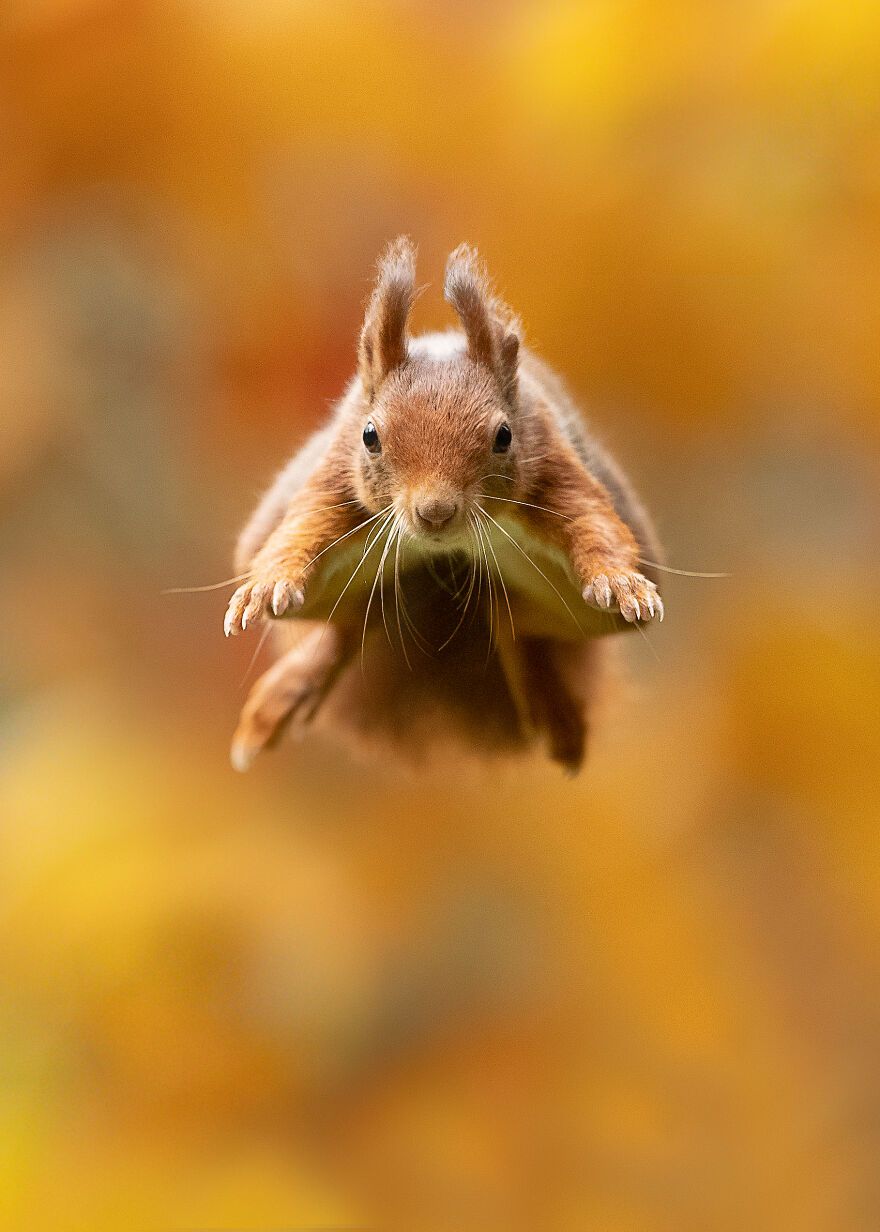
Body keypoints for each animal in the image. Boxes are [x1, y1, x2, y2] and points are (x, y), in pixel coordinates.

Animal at [225, 238, 663, 773]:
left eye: (504, 436)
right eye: (369, 435)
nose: (435, 512)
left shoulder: (554, 464)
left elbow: (594, 525)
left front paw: (619, 582)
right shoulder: (335, 475)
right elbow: (301, 530)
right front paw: (270, 583)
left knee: (513, 628)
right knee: (351, 627)